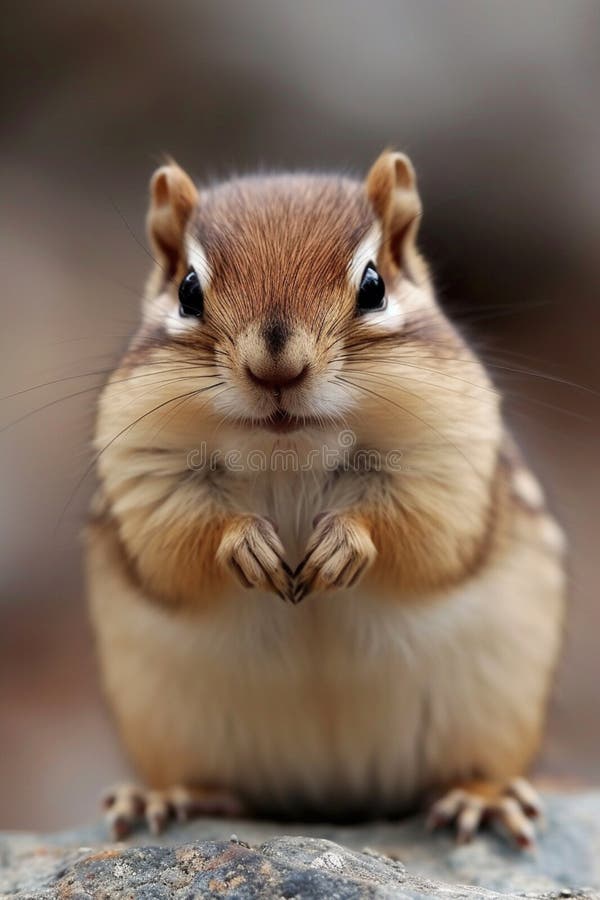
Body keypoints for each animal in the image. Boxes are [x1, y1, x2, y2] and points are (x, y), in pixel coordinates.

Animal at [87, 151, 566, 848]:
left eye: (373, 285)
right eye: (187, 291)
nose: (276, 369)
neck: (288, 446)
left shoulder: (447, 456)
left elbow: (419, 522)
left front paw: (345, 544)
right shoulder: (143, 466)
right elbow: (177, 535)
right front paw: (246, 544)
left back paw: (481, 799)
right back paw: (169, 796)